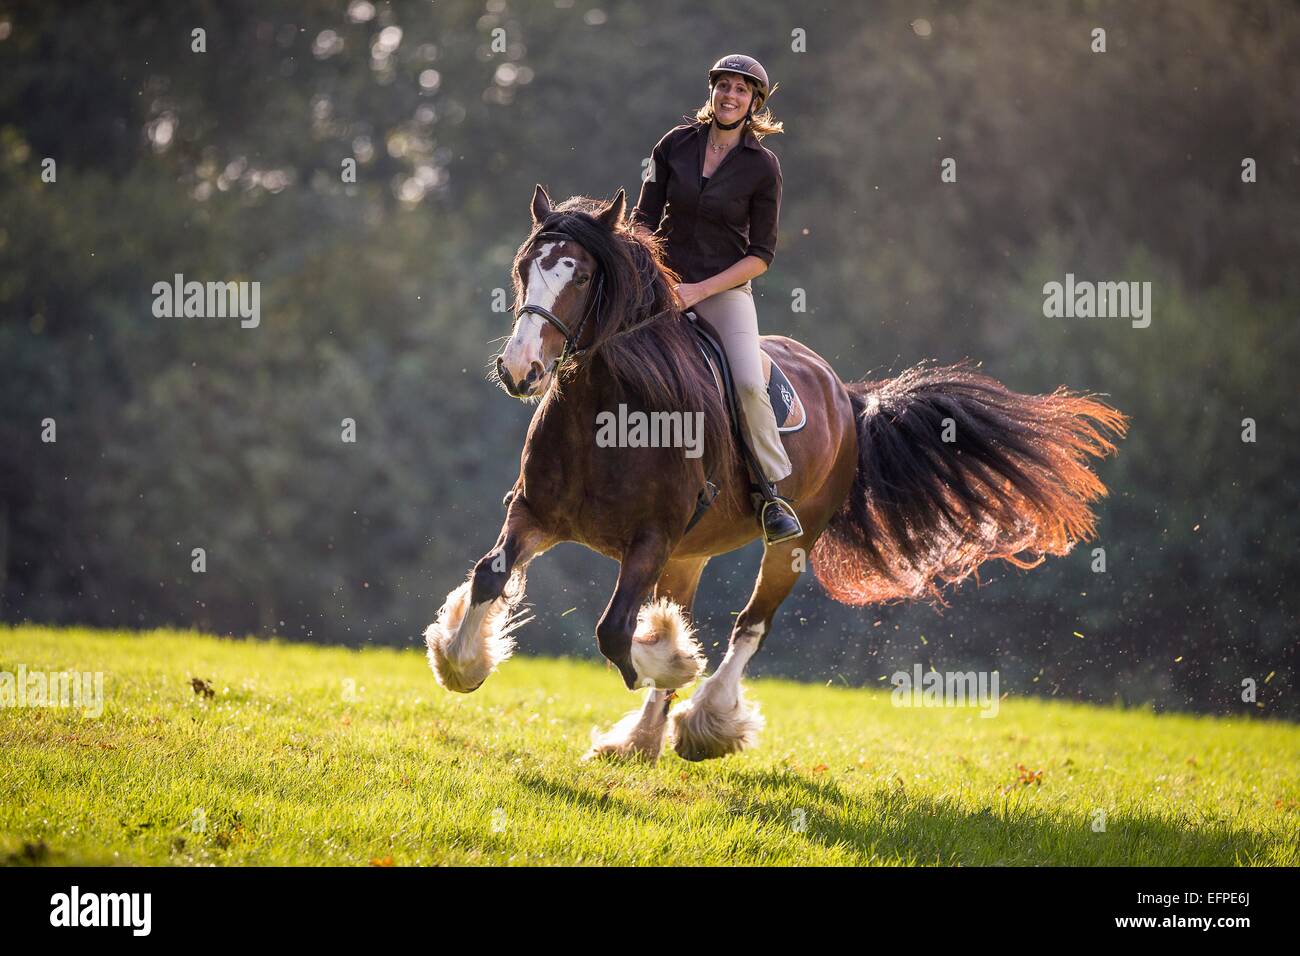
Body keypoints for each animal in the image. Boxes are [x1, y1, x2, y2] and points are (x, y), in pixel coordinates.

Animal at [423, 184, 1127, 762]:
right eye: (526, 269)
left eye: (583, 274)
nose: (520, 370)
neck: (609, 411)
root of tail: (848, 396)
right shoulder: (536, 514)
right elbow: (491, 577)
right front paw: (462, 664)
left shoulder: (649, 540)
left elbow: (617, 631)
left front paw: (675, 662)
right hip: (689, 553)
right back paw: (641, 740)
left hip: (791, 541)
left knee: (749, 626)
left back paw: (704, 725)